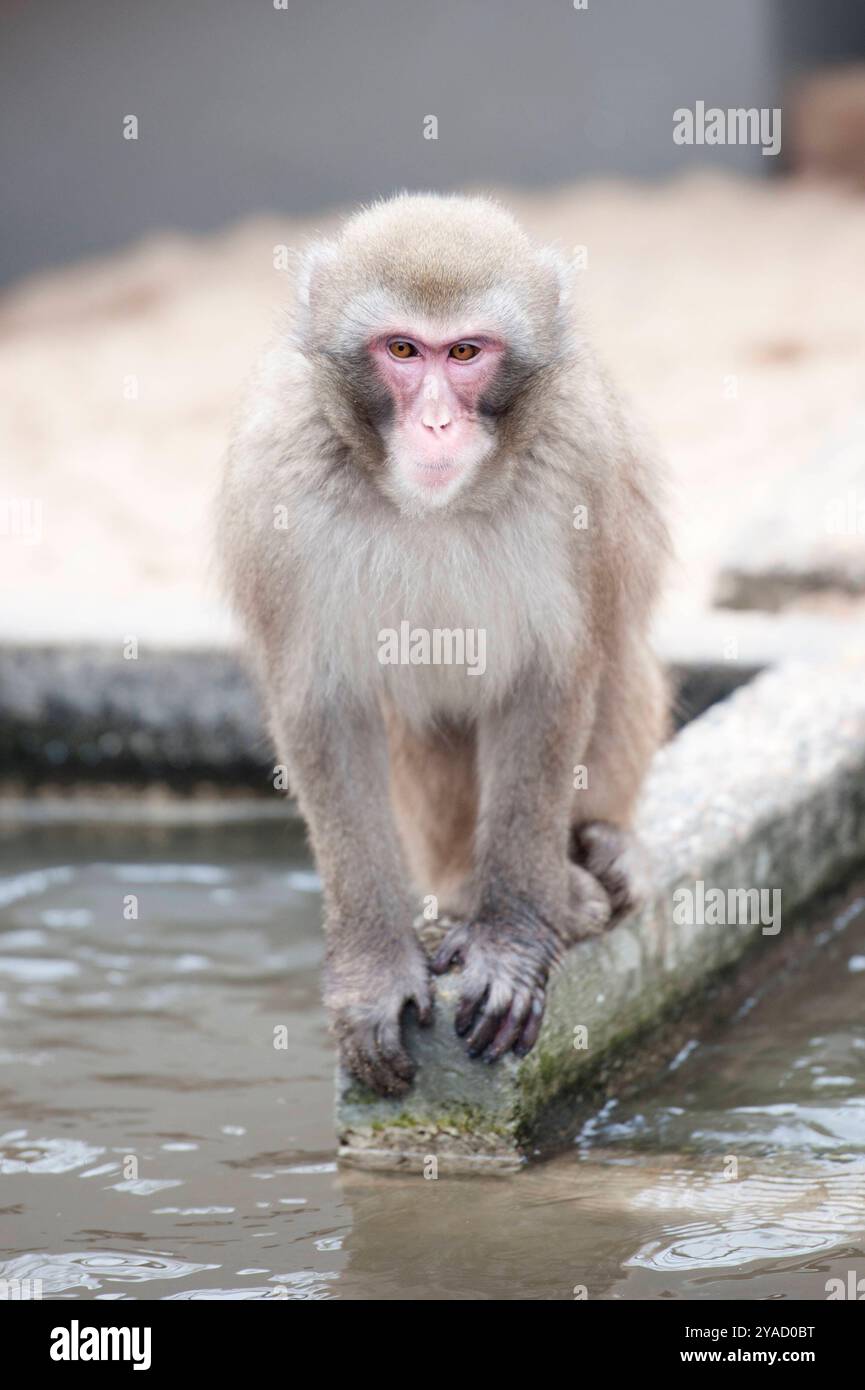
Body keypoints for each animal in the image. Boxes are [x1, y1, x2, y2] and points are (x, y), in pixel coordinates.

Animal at [217, 193, 669, 1098]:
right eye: (401, 350)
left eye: (464, 352)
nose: (432, 422)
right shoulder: (277, 476)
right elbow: (322, 705)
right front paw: (372, 968)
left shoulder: (580, 457)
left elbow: (551, 677)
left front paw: (511, 936)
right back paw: (468, 881)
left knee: (616, 653)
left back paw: (596, 856)